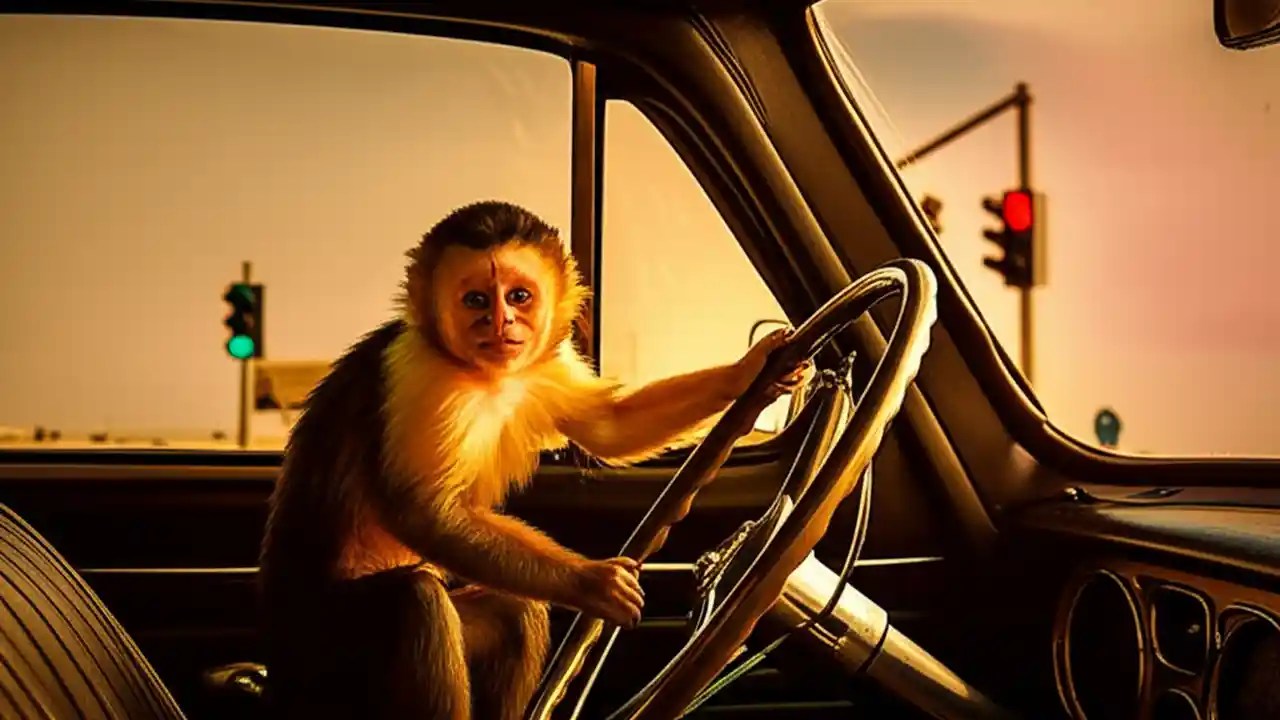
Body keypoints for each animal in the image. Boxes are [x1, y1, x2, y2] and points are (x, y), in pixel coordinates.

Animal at [257, 200, 809, 720]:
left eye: (518, 296)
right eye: (476, 300)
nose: (500, 323)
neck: (478, 374)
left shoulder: (544, 362)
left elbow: (609, 426)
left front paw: (749, 373)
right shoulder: (417, 373)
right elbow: (420, 510)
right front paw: (591, 582)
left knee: (512, 613)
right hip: (325, 655)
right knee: (419, 602)